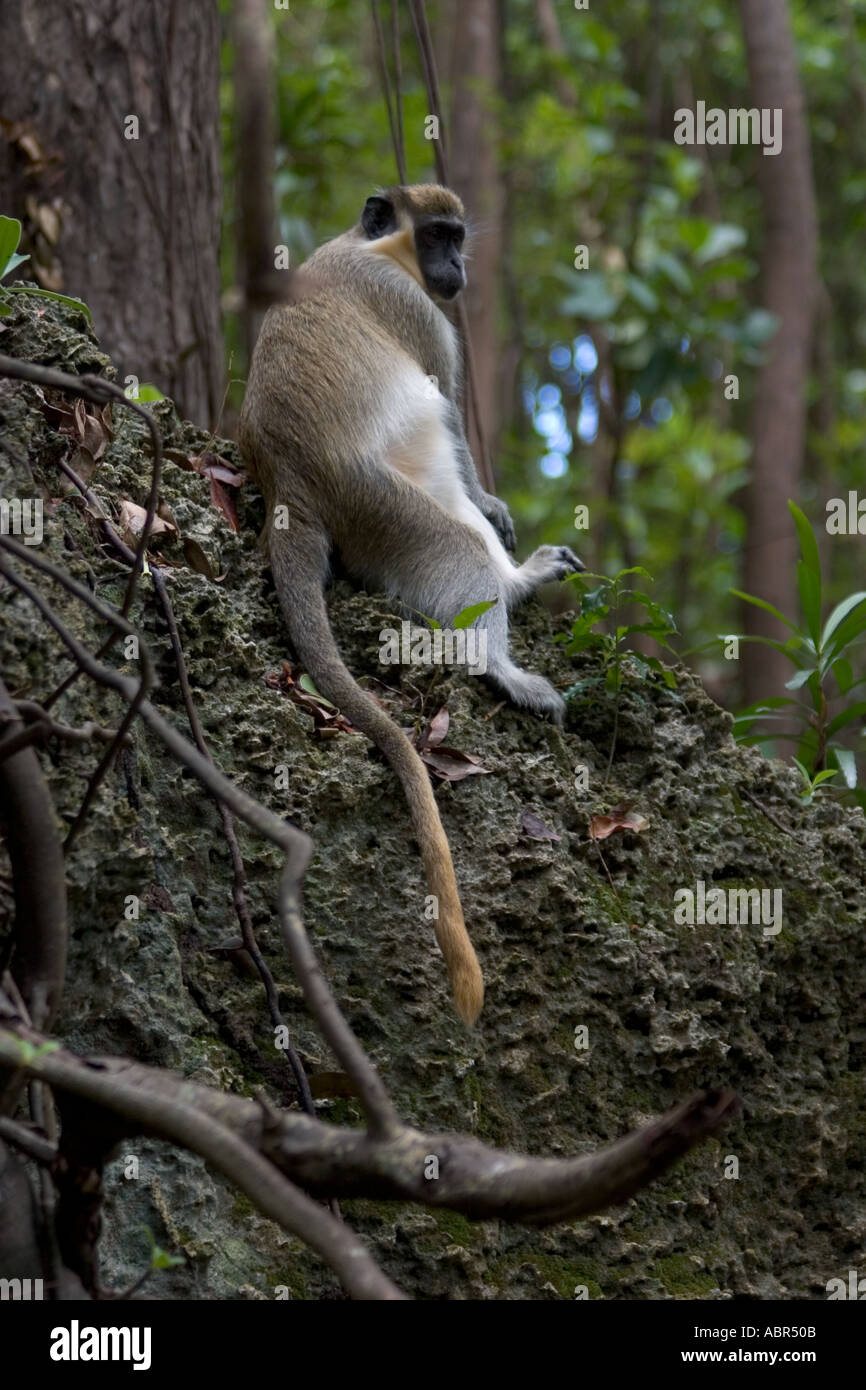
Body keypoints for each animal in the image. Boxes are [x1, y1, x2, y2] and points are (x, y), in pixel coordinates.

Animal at [239, 184, 584, 1026]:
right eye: (438, 236)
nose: (456, 267)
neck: (370, 247)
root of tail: (286, 486)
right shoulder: (412, 305)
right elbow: (449, 400)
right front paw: (494, 502)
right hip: (376, 507)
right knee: (456, 530)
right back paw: (499, 663)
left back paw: (519, 580)